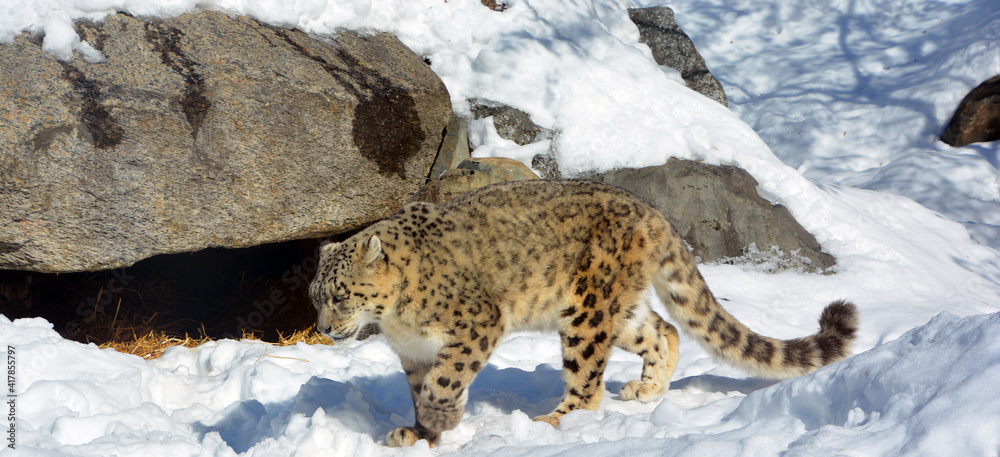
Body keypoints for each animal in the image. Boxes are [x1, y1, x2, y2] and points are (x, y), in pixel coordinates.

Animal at [308, 179, 858, 447]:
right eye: (314, 297)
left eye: (341, 296)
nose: (323, 329)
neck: (396, 324)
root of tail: (652, 212)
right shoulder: (414, 353)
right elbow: (421, 388)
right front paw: (420, 432)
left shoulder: (475, 324)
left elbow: (445, 380)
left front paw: (441, 416)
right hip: (615, 309)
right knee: (663, 330)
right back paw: (645, 389)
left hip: (586, 311)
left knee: (589, 380)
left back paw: (555, 421)